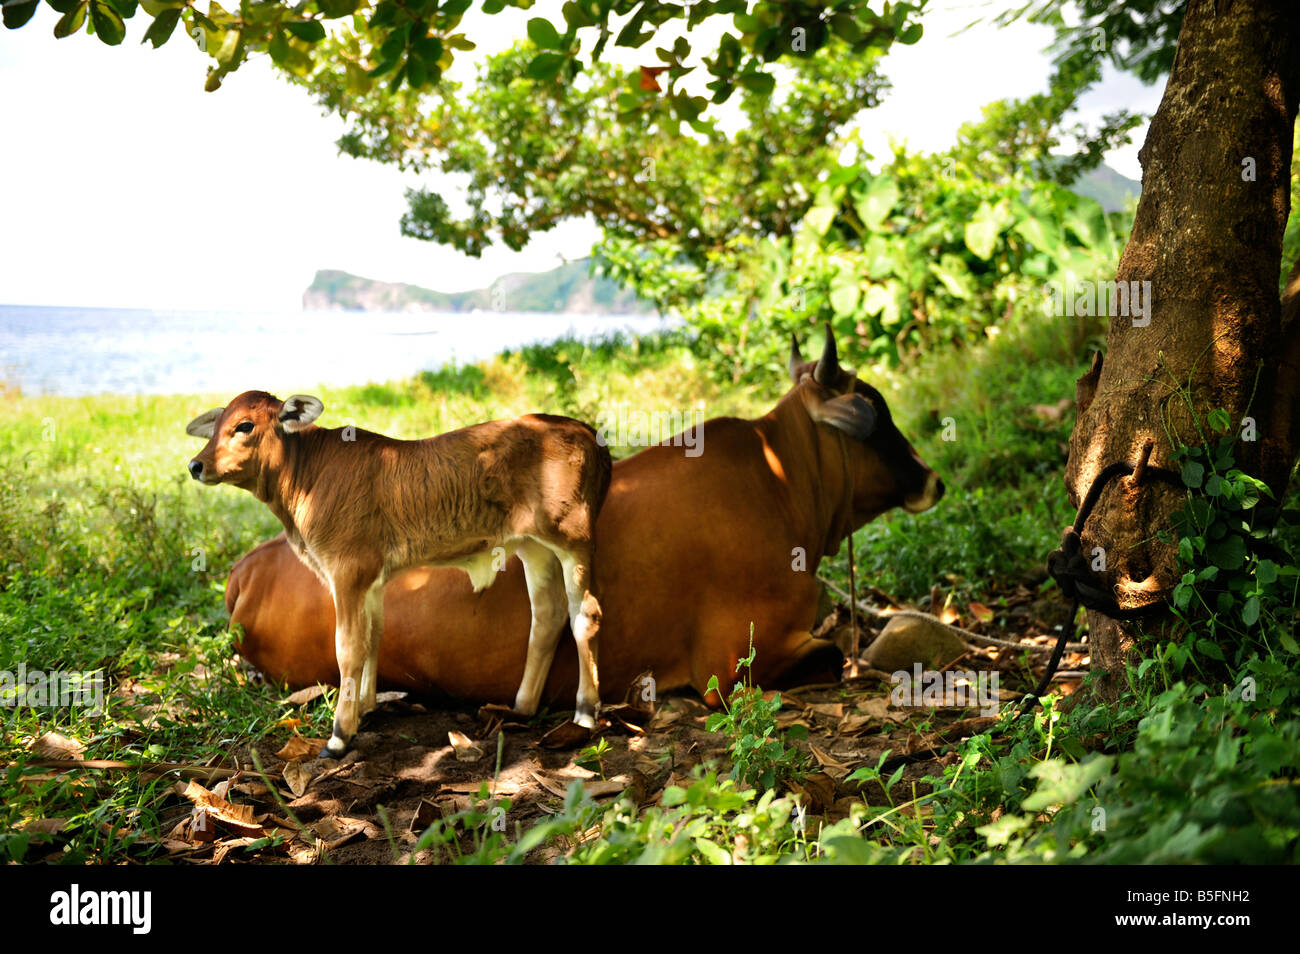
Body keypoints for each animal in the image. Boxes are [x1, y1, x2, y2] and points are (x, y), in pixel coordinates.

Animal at [185, 393, 611, 758]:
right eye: (215, 426)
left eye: (243, 426)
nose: (195, 465)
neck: (306, 476)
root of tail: (584, 430)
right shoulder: (372, 579)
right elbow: (373, 636)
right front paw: (365, 707)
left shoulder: (347, 571)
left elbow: (348, 647)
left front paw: (340, 735)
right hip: (533, 549)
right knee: (547, 617)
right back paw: (523, 705)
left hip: (573, 540)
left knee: (585, 615)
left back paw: (585, 712)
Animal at [222, 328, 944, 713]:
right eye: (876, 409)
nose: (933, 479)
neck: (782, 481)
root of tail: (250, 564)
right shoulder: (734, 663)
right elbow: (837, 653)